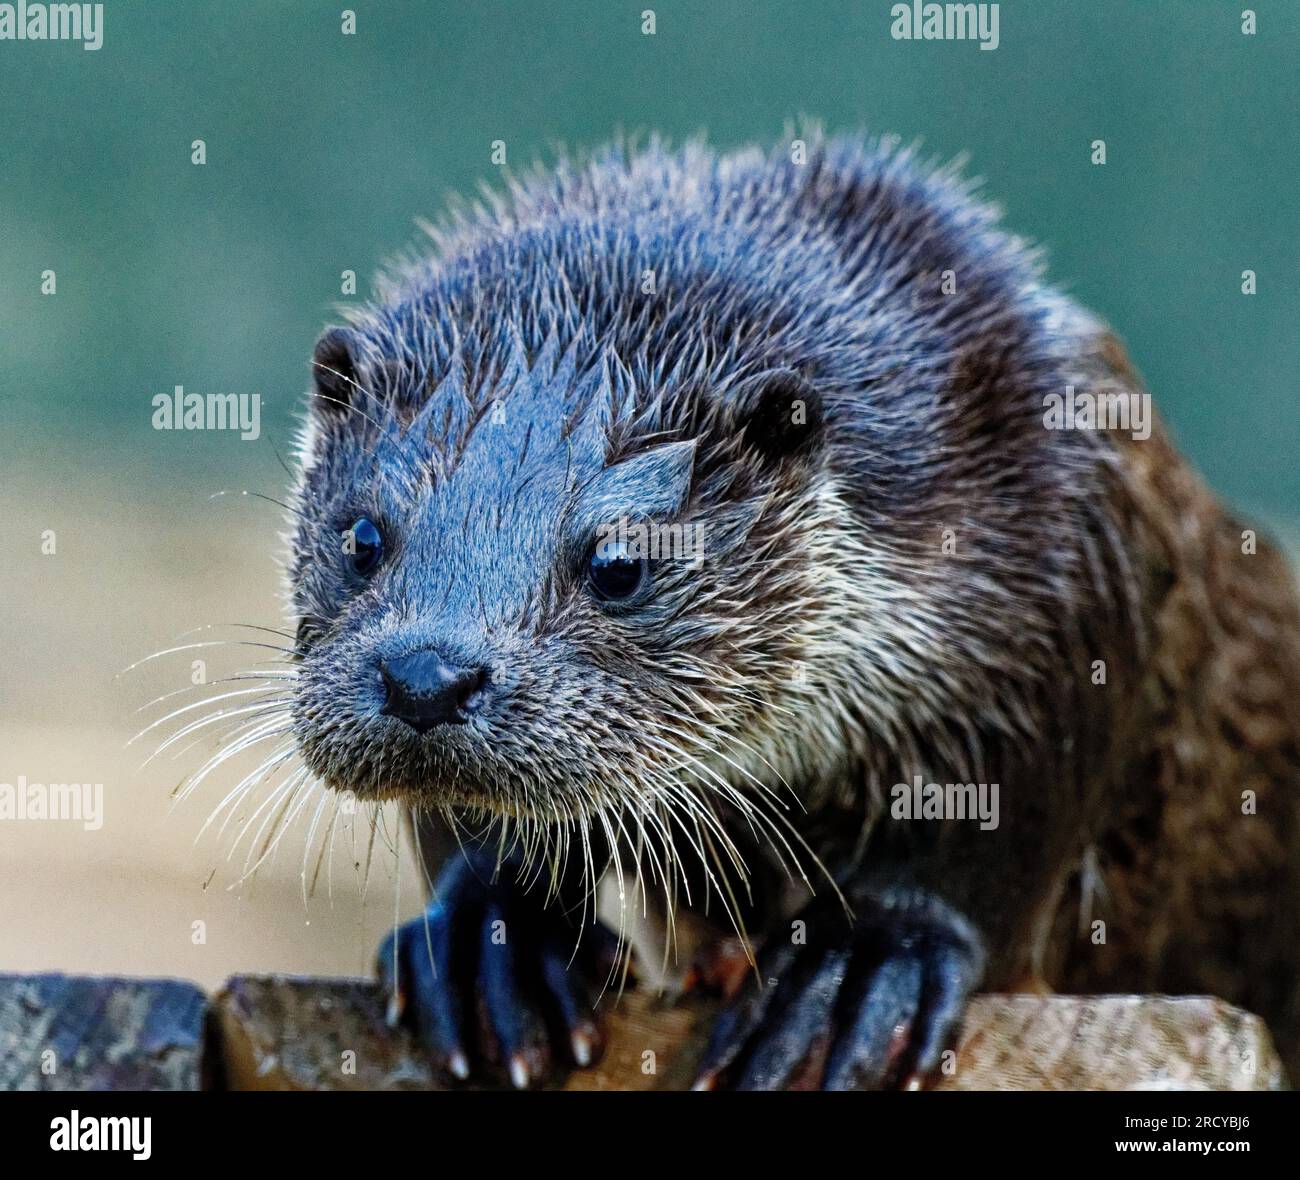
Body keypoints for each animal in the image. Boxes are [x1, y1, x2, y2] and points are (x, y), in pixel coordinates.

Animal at [284, 137, 1300, 1090]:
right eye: (363, 537)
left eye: (619, 563)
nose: (425, 675)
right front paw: (496, 937)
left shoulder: (1075, 549)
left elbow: (998, 825)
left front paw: (861, 968)